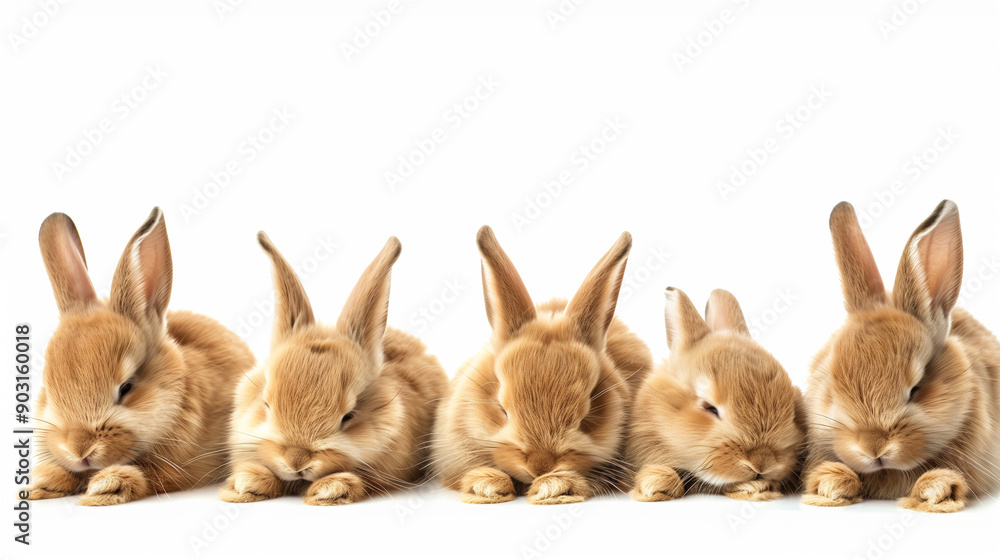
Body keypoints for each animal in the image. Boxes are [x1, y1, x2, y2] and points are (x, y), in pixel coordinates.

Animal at [25, 208, 255, 506]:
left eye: (126, 388)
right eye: (48, 393)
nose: (80, 450)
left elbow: (149, 474)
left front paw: (107, 486)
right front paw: (41, 483)